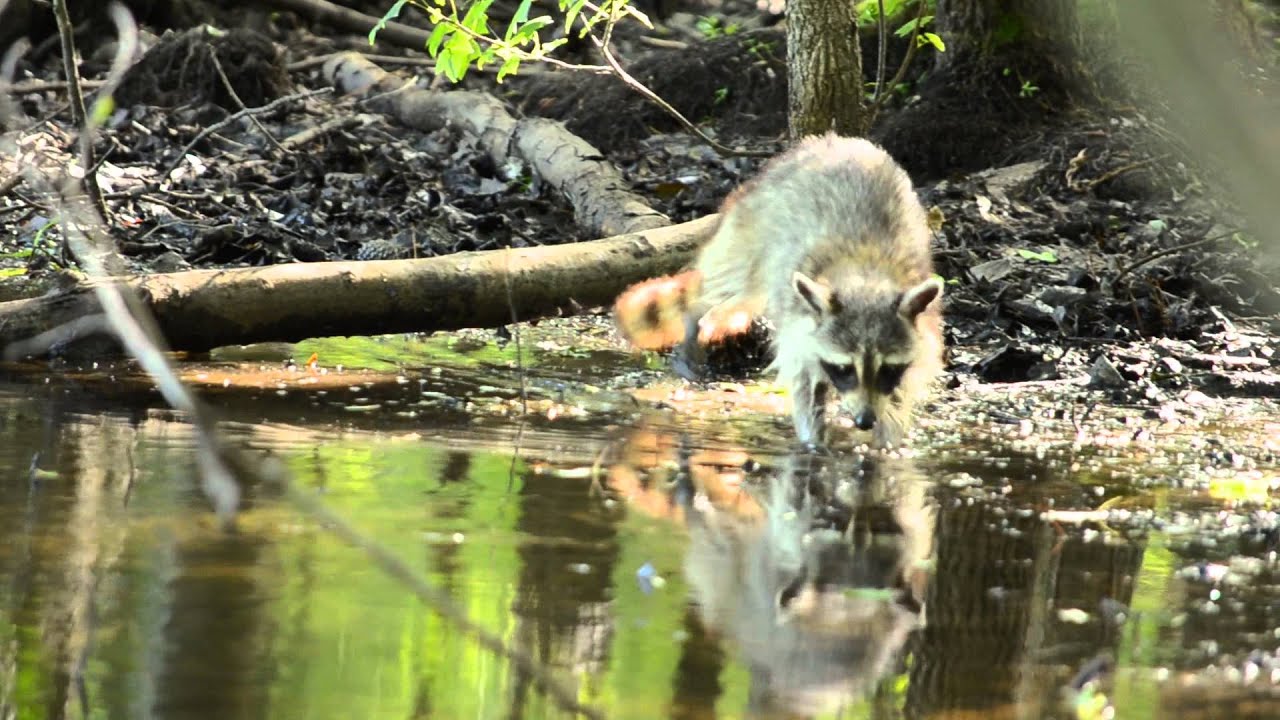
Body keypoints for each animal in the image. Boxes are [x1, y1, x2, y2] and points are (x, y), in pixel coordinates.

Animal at [614, 134, 944, 447]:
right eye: (844, 368)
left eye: (887, 369)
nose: (865, 420)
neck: (865, 277)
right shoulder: (800, 324)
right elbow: (803, 386)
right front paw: (813, 443)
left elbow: (900, 395)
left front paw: (886, 443)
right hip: (752, 229)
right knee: (723, 285)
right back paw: (694, 322)